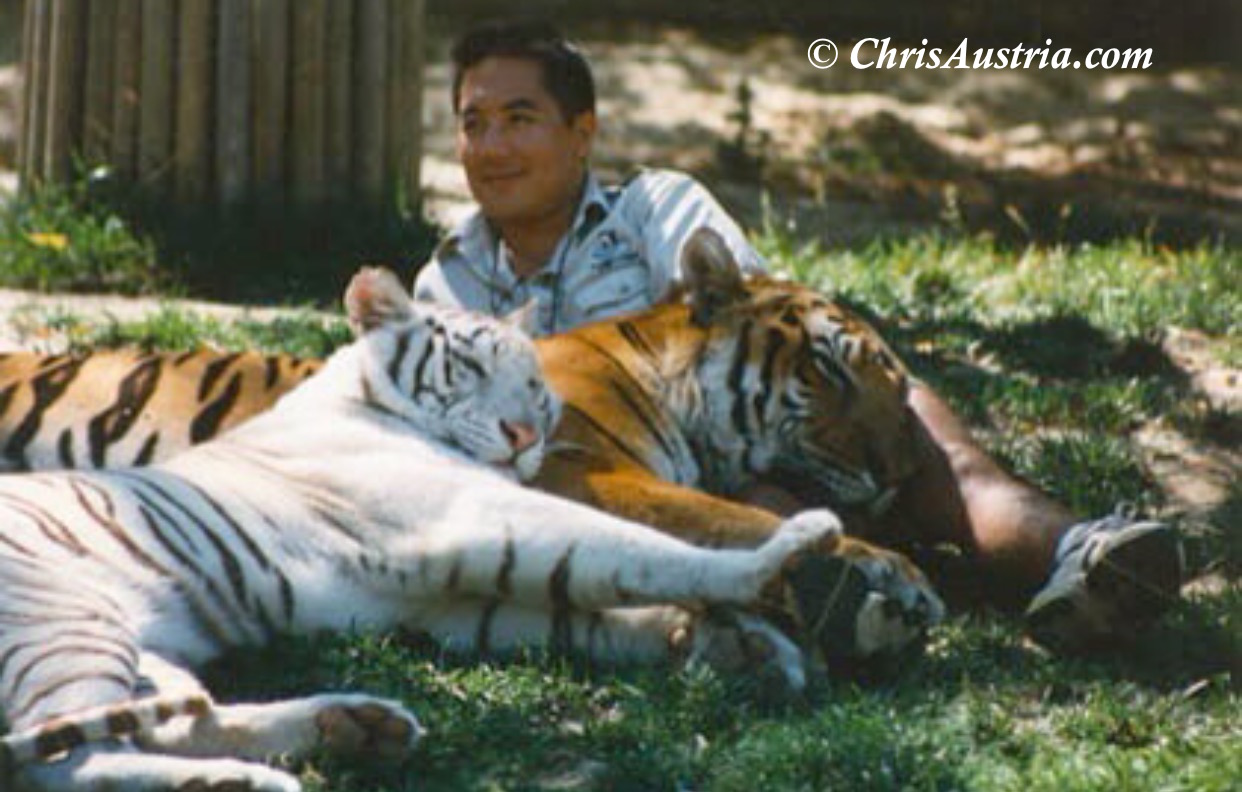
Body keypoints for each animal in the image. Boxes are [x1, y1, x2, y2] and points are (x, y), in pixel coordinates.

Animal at [0, 264, 939, 791]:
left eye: (534, 386)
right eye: (828, 371)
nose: (899, 475)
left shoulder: (435, 591)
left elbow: (587, 602)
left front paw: (737, 646)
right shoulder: (523, 496)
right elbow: (668, 543)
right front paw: (827, 562)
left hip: (146, 648)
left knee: (177, 712)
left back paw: (351, 728)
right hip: (67, 624)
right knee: (61, 762)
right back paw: (236, 781)